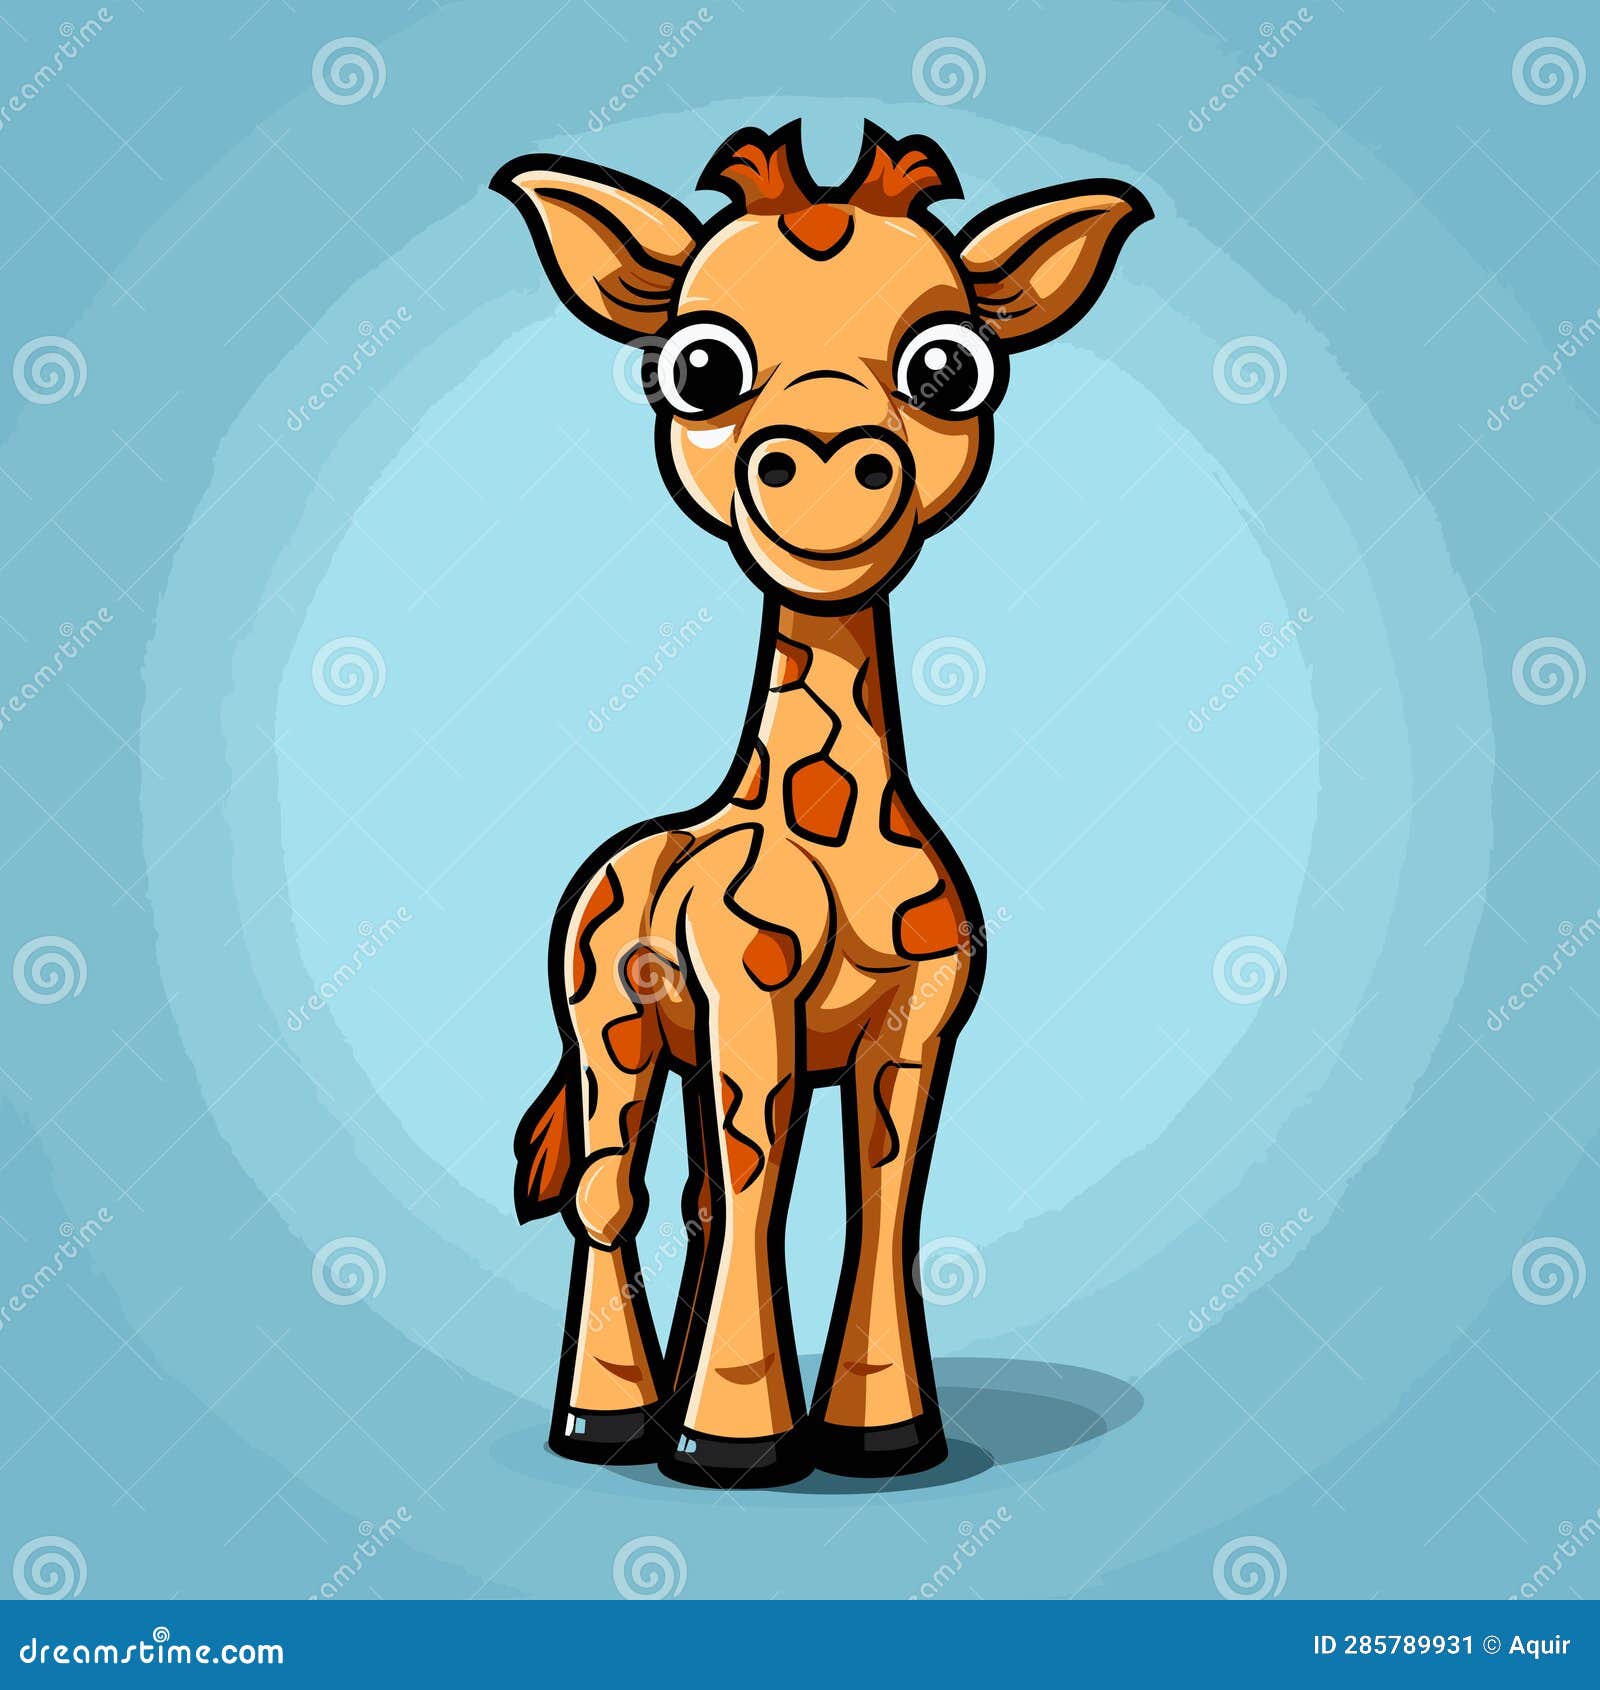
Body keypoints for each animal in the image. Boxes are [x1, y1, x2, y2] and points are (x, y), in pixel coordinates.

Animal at [492, 121, 1150, 1488]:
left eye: (949, 365)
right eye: (699, 365)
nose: (828, 465)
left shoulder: (918, 1020)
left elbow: (882, 1198)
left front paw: (874, 1431)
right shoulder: (752, 999)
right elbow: (768, 1182)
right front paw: (730, 1441)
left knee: (687, 1197)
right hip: (608, 1024)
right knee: (607, 1192)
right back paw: (608, 1423)